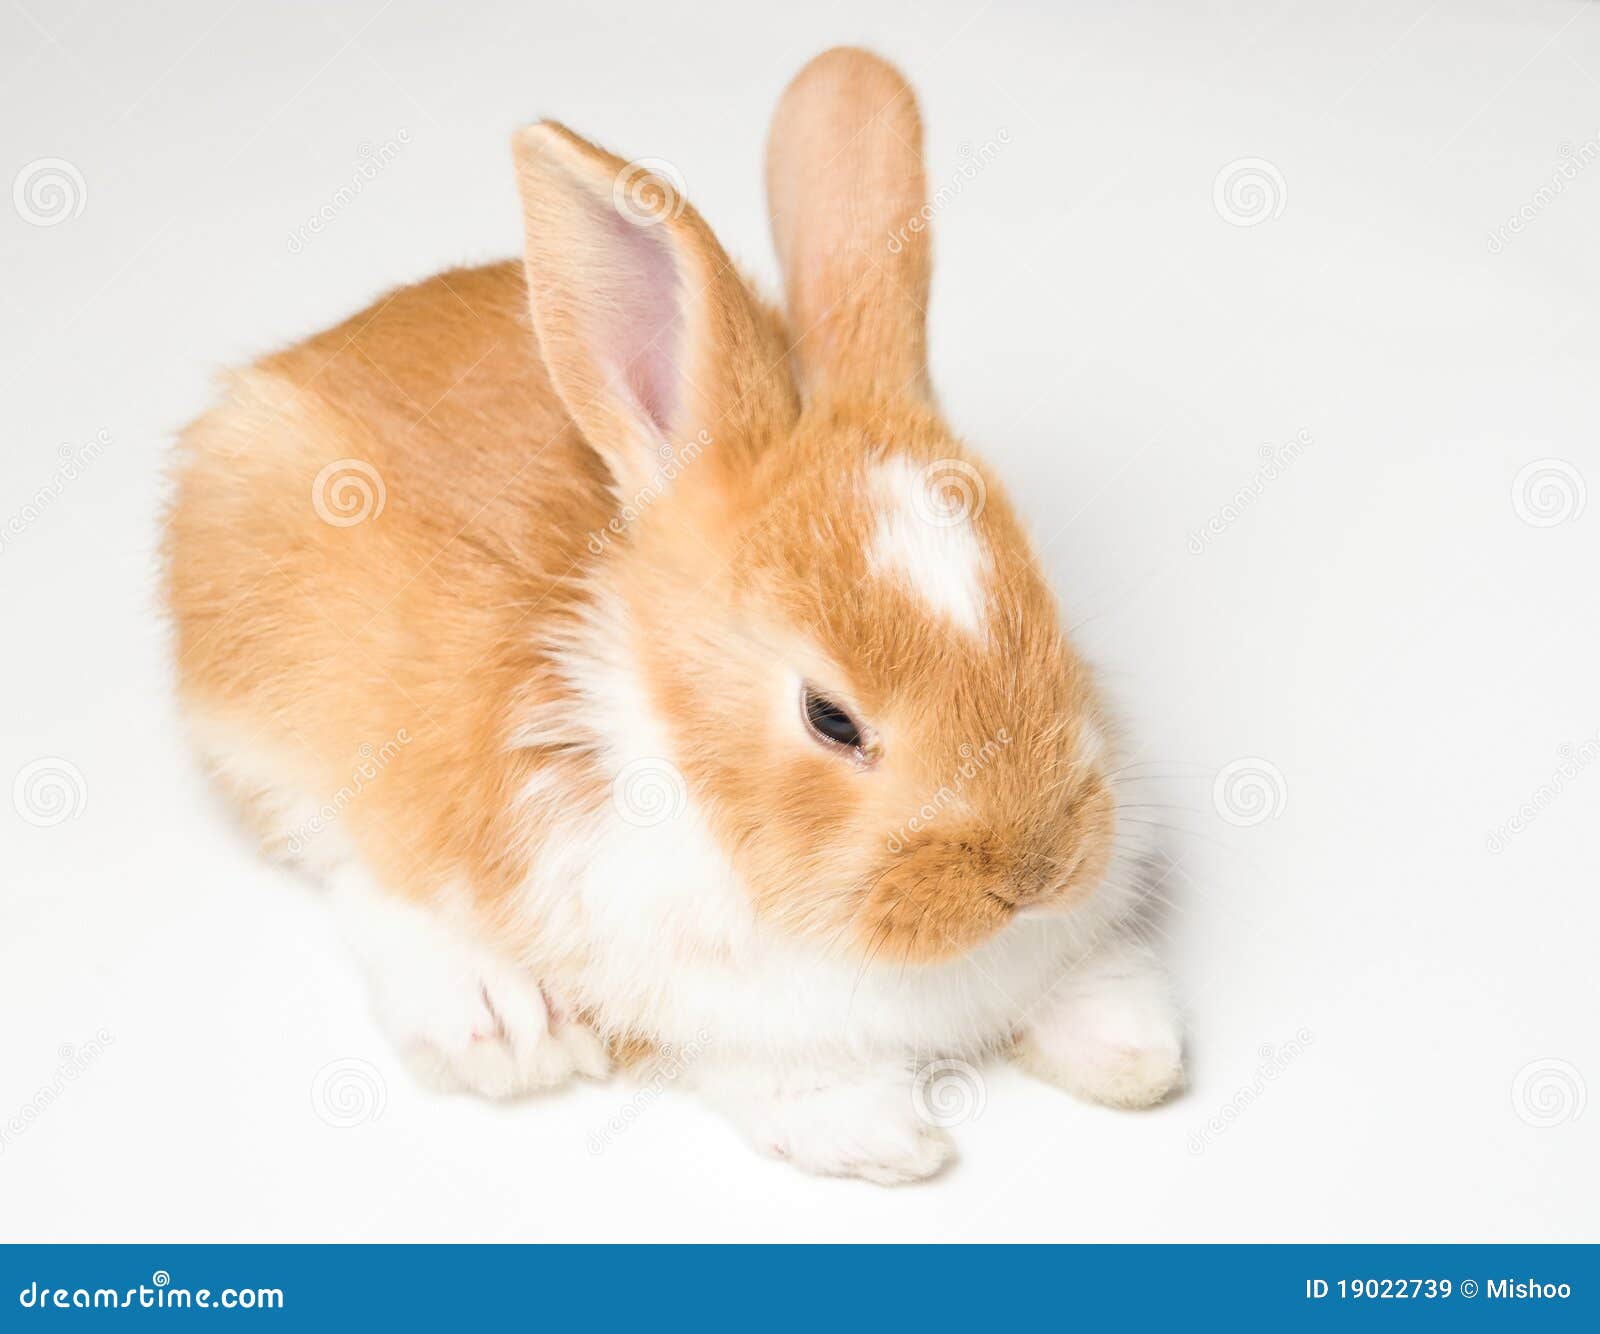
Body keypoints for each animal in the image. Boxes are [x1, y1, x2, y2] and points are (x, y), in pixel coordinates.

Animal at [163, 46, 1183, 1184]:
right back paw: (499, 1020)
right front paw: (884, 1137)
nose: (1035, 869)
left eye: (1044, 608)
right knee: (354, 863)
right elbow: (780, 1072)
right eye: (830, 718)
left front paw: (1133, 1047)